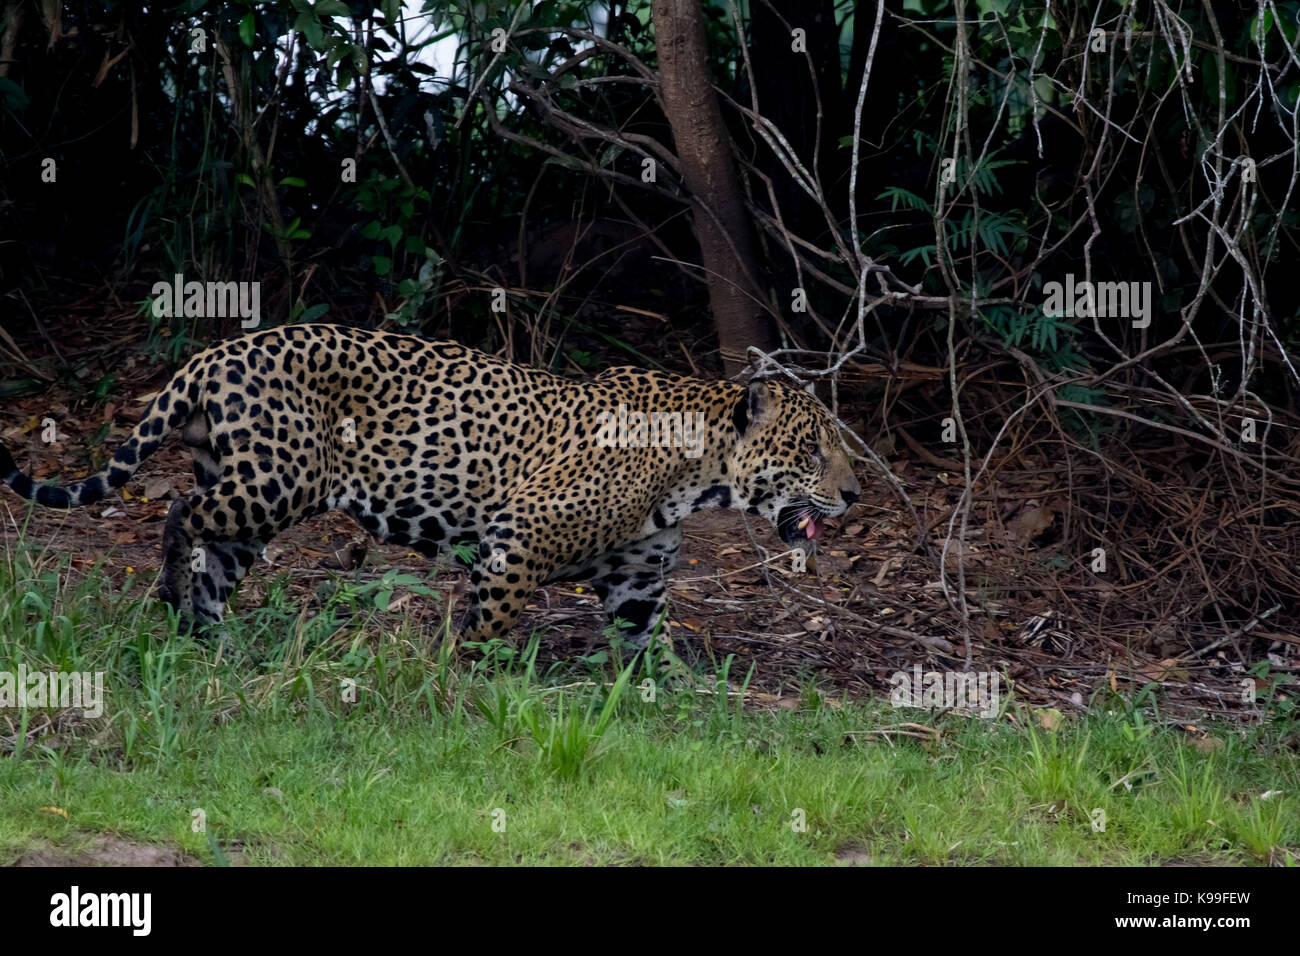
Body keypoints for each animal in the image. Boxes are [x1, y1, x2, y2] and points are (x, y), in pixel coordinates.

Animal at [0, 324, 861, 650]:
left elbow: (651, 652)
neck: (697, 473)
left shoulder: (638, 582)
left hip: (250, 492)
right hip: (276, 482)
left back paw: (206, 636)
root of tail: (216, 351)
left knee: (213, 548)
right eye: (814, 450)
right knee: (181, 512)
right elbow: (492, 618)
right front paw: (473, 680)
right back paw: (171, 600)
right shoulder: (523, 534)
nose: (854, 496)